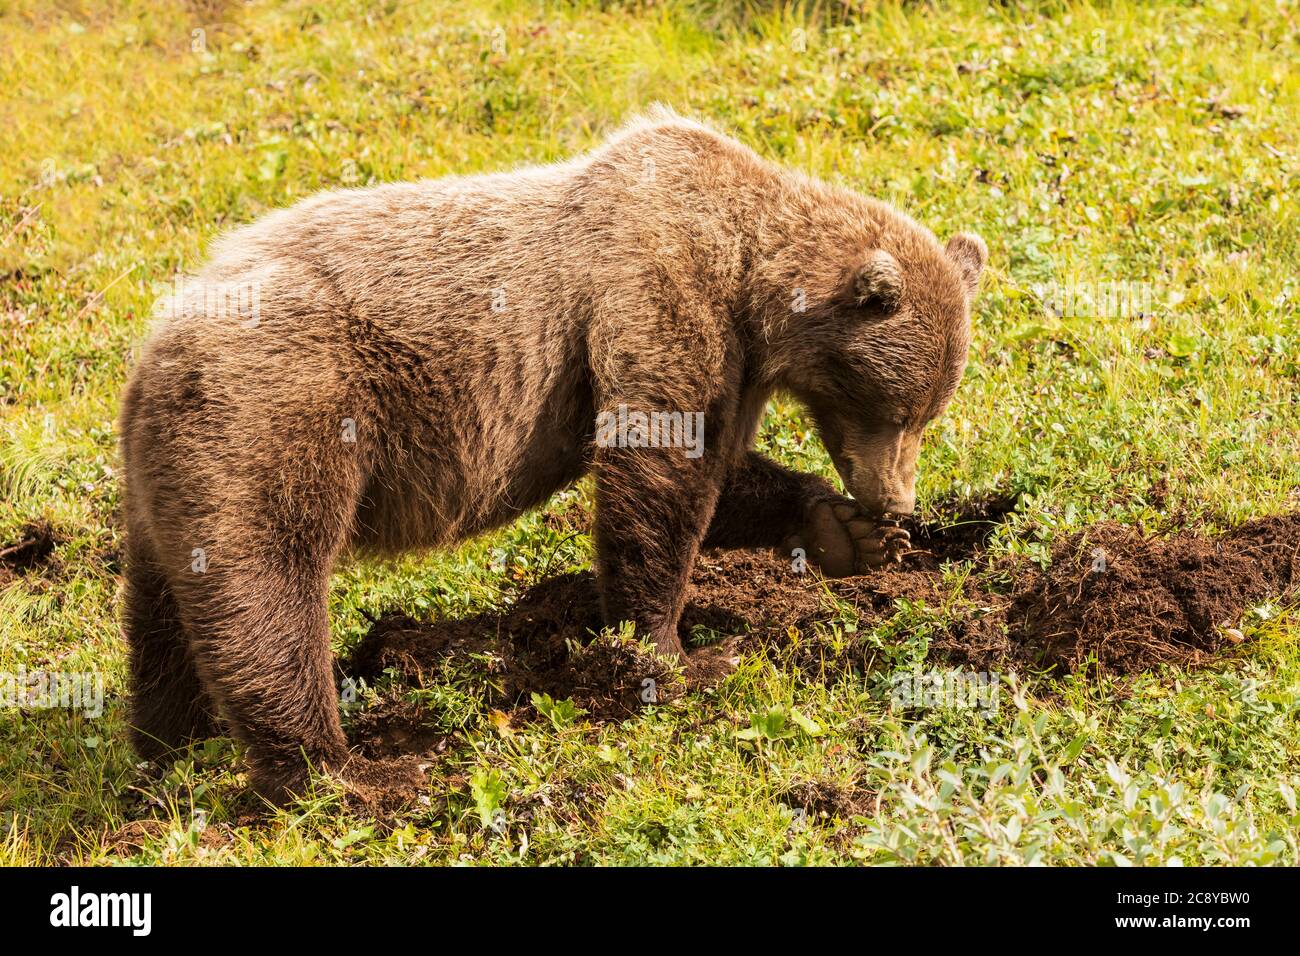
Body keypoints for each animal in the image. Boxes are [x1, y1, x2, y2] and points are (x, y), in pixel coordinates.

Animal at [119, 108, 986, 802]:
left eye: (929, 412)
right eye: (896, 410)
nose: (897, 501)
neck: (752, 282)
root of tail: (153, 348)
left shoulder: (732, 363)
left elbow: (725, 471)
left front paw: (843, 532)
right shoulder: (656, 296)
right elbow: (659, 471)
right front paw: (677, 653)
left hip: (170, 471)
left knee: (163, 611)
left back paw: (169, 746)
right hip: (278, 410)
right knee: (270, 585)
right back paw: (350, 769)